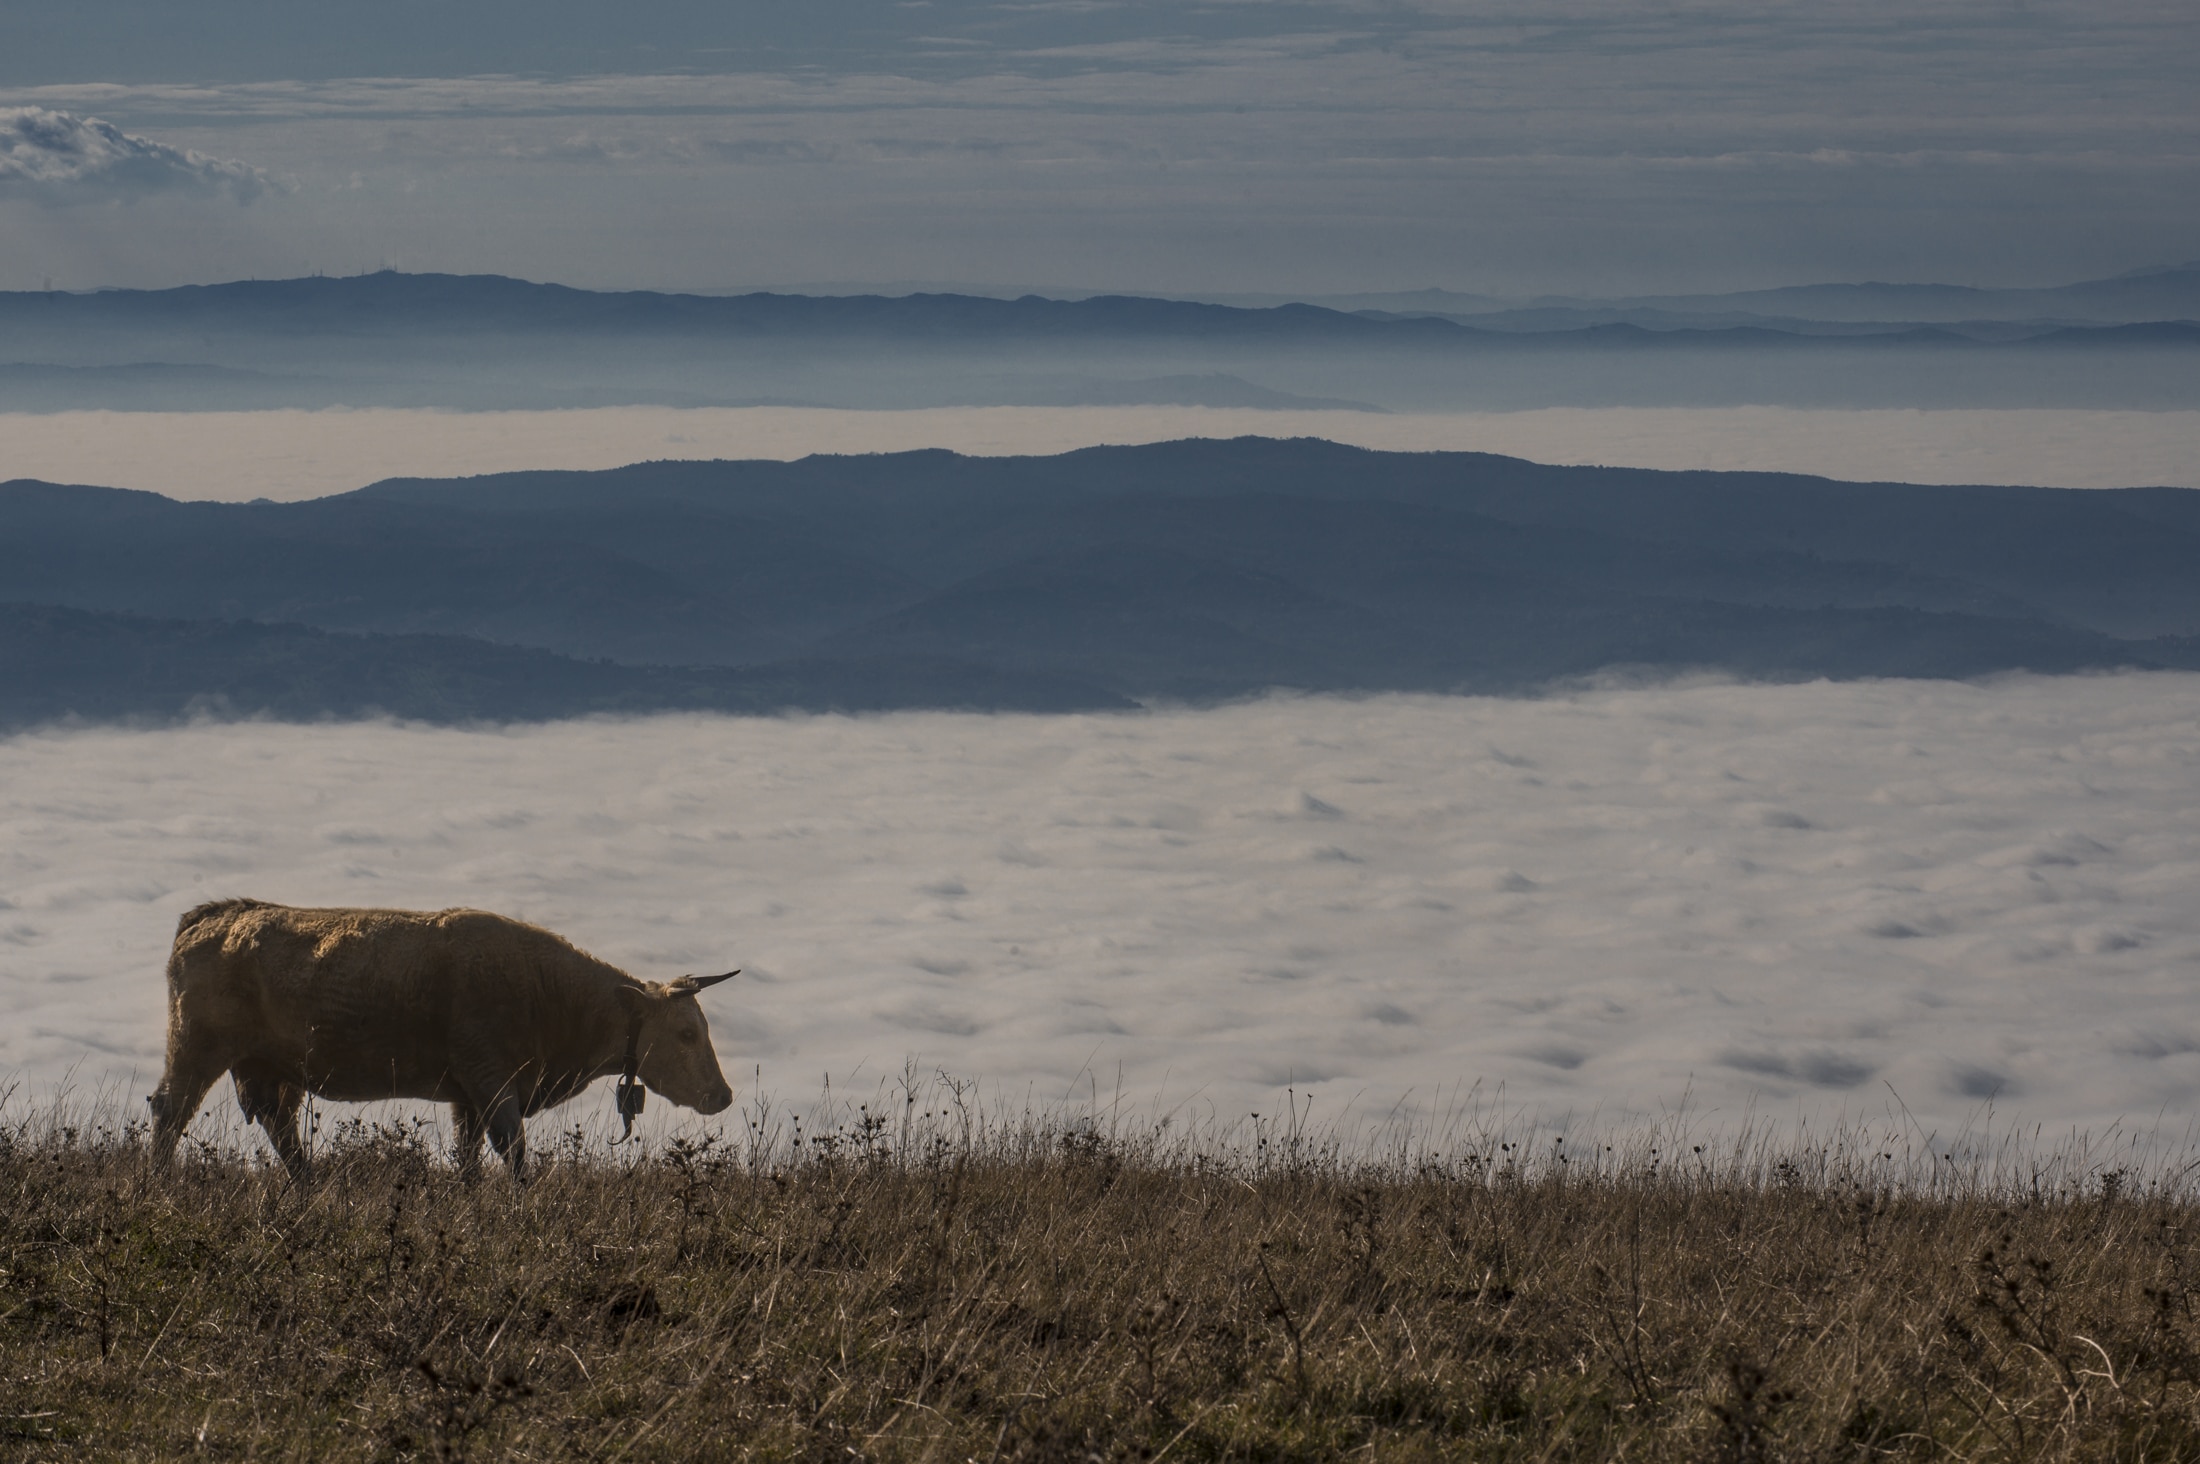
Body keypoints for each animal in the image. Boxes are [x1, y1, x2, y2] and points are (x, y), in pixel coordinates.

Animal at [148, 898, 737, 1181]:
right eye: (686, 1032)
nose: (723, 1095)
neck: (550, 993)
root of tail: (215, 914)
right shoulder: (492, 1082)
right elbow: (513, 1153)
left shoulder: (467, 1096)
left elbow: (469, 1159)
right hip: (196, 1050)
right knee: (169, 1112)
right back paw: (160, 1185)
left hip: (270, 1070)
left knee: (281, 1129)